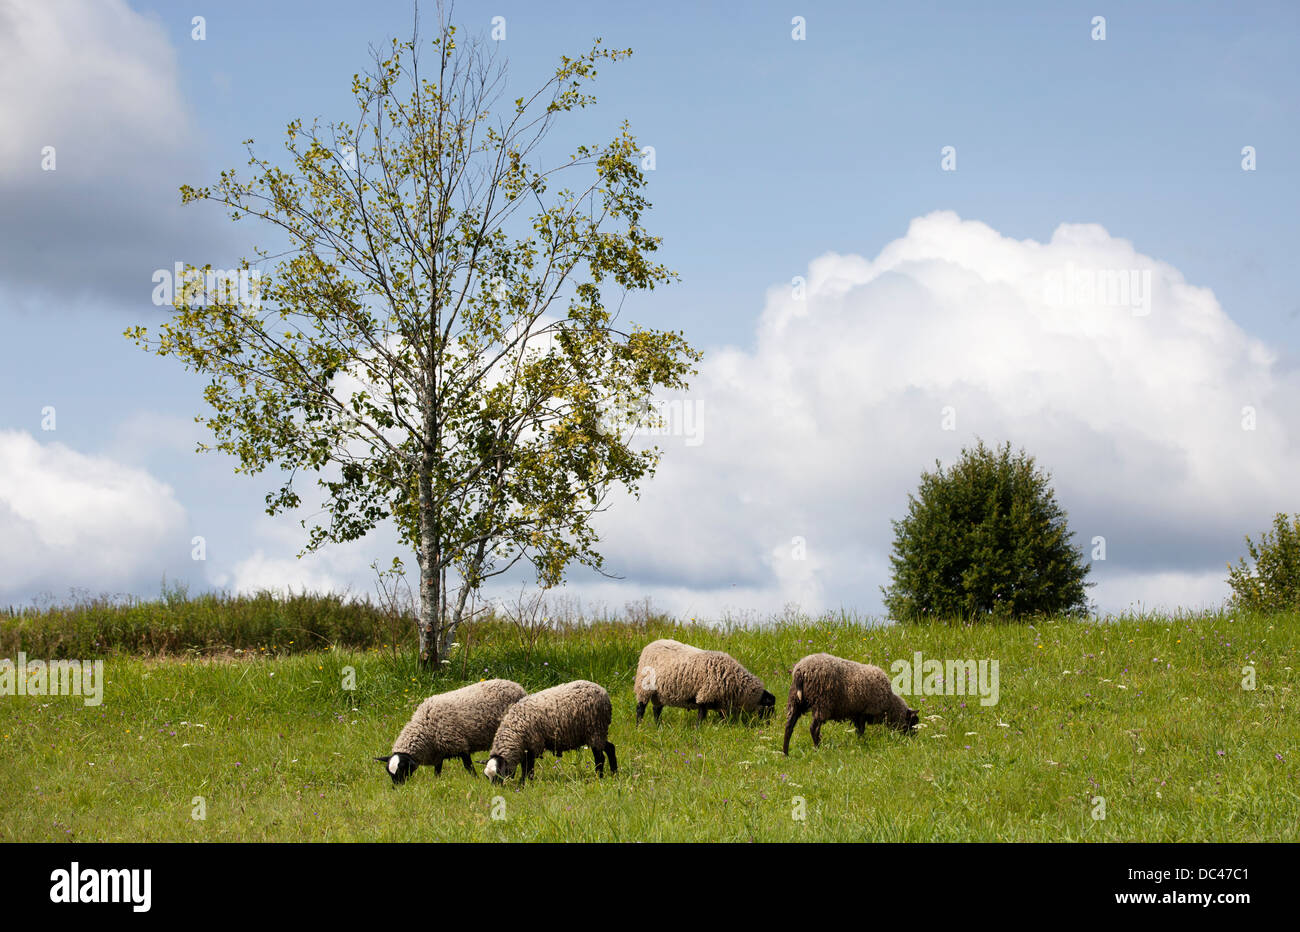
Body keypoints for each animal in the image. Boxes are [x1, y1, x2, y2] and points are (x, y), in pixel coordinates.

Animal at [375, 678, 525, 784]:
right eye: (389, 772)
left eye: (402, 769)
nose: (397, 788)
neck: (426, 726)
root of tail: (517, 686)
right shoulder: (439, 753)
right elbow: (437, 771)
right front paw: (437, 783)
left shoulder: (458, 744)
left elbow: (468, 766)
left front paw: (475, 779)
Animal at [484, 680, 616, 784]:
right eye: (487, 777)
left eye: (497, 775)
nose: (497, 790)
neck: (514, 731)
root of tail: (603, 692)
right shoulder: (526, 747)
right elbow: (526, 767)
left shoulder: (533, 745)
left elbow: (528, 768)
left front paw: (525, 784)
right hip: (598, 732)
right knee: (610, 748)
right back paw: (615, 773)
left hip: (595, 730)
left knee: (600, 757)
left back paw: (599, 777)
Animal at [634, 638, 776, 725]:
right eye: (769, 708)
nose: (769, 725)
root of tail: (650, 645)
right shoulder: (705, 694)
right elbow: (701, 716)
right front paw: (698, 731)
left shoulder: (720, 702)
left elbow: (722, 717)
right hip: (644, 688)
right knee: (640, 708)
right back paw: (638, 727)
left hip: (658, 693)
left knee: (656, 710)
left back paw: (658, 727)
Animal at [782, 653, 919, 754]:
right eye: (912, 722)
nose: (914, 738)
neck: (890, 704)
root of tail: (800, 671)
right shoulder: (864, 711)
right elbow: (861, 731)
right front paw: (861, 743)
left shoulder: (856, 714)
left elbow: (858, 730)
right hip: (822, 703)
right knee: (814, 728)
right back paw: (818, 749)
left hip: (795, 701)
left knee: (789, 727)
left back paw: (785, 753)